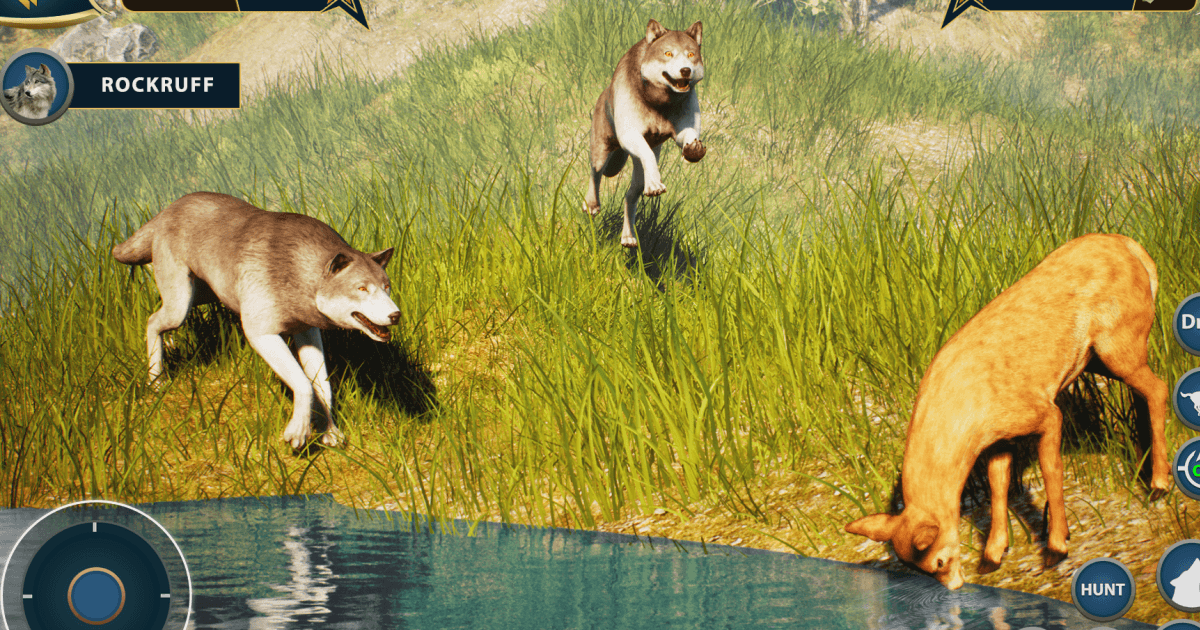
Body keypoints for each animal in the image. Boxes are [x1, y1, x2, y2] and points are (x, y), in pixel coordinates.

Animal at [113, 192, 401, 449]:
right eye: (362, 289)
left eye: (386, 287)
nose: (396, 315)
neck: (297, 270)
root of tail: (169, 208)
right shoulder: (261, 334)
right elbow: (304, 383)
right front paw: (298, 432)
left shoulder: (308, 332)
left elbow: (322, 386)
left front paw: (330, 433)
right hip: (181, 304)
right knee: (152, 321)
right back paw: (155, 380)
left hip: (200, 296)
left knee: (156, 313)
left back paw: (169, 348)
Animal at [584, 19, 706, 248]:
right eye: (668, 53)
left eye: (691, 54)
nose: (686, 70)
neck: (661, 102)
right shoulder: (630, 135)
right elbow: (647, 154)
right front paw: (656, 185)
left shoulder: (683, 129)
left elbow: (688, 137)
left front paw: (694, 149)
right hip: (602, 151)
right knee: (595, 175)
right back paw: (591, 205)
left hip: (637, 176)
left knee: (630, 196)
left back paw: (628, 237)